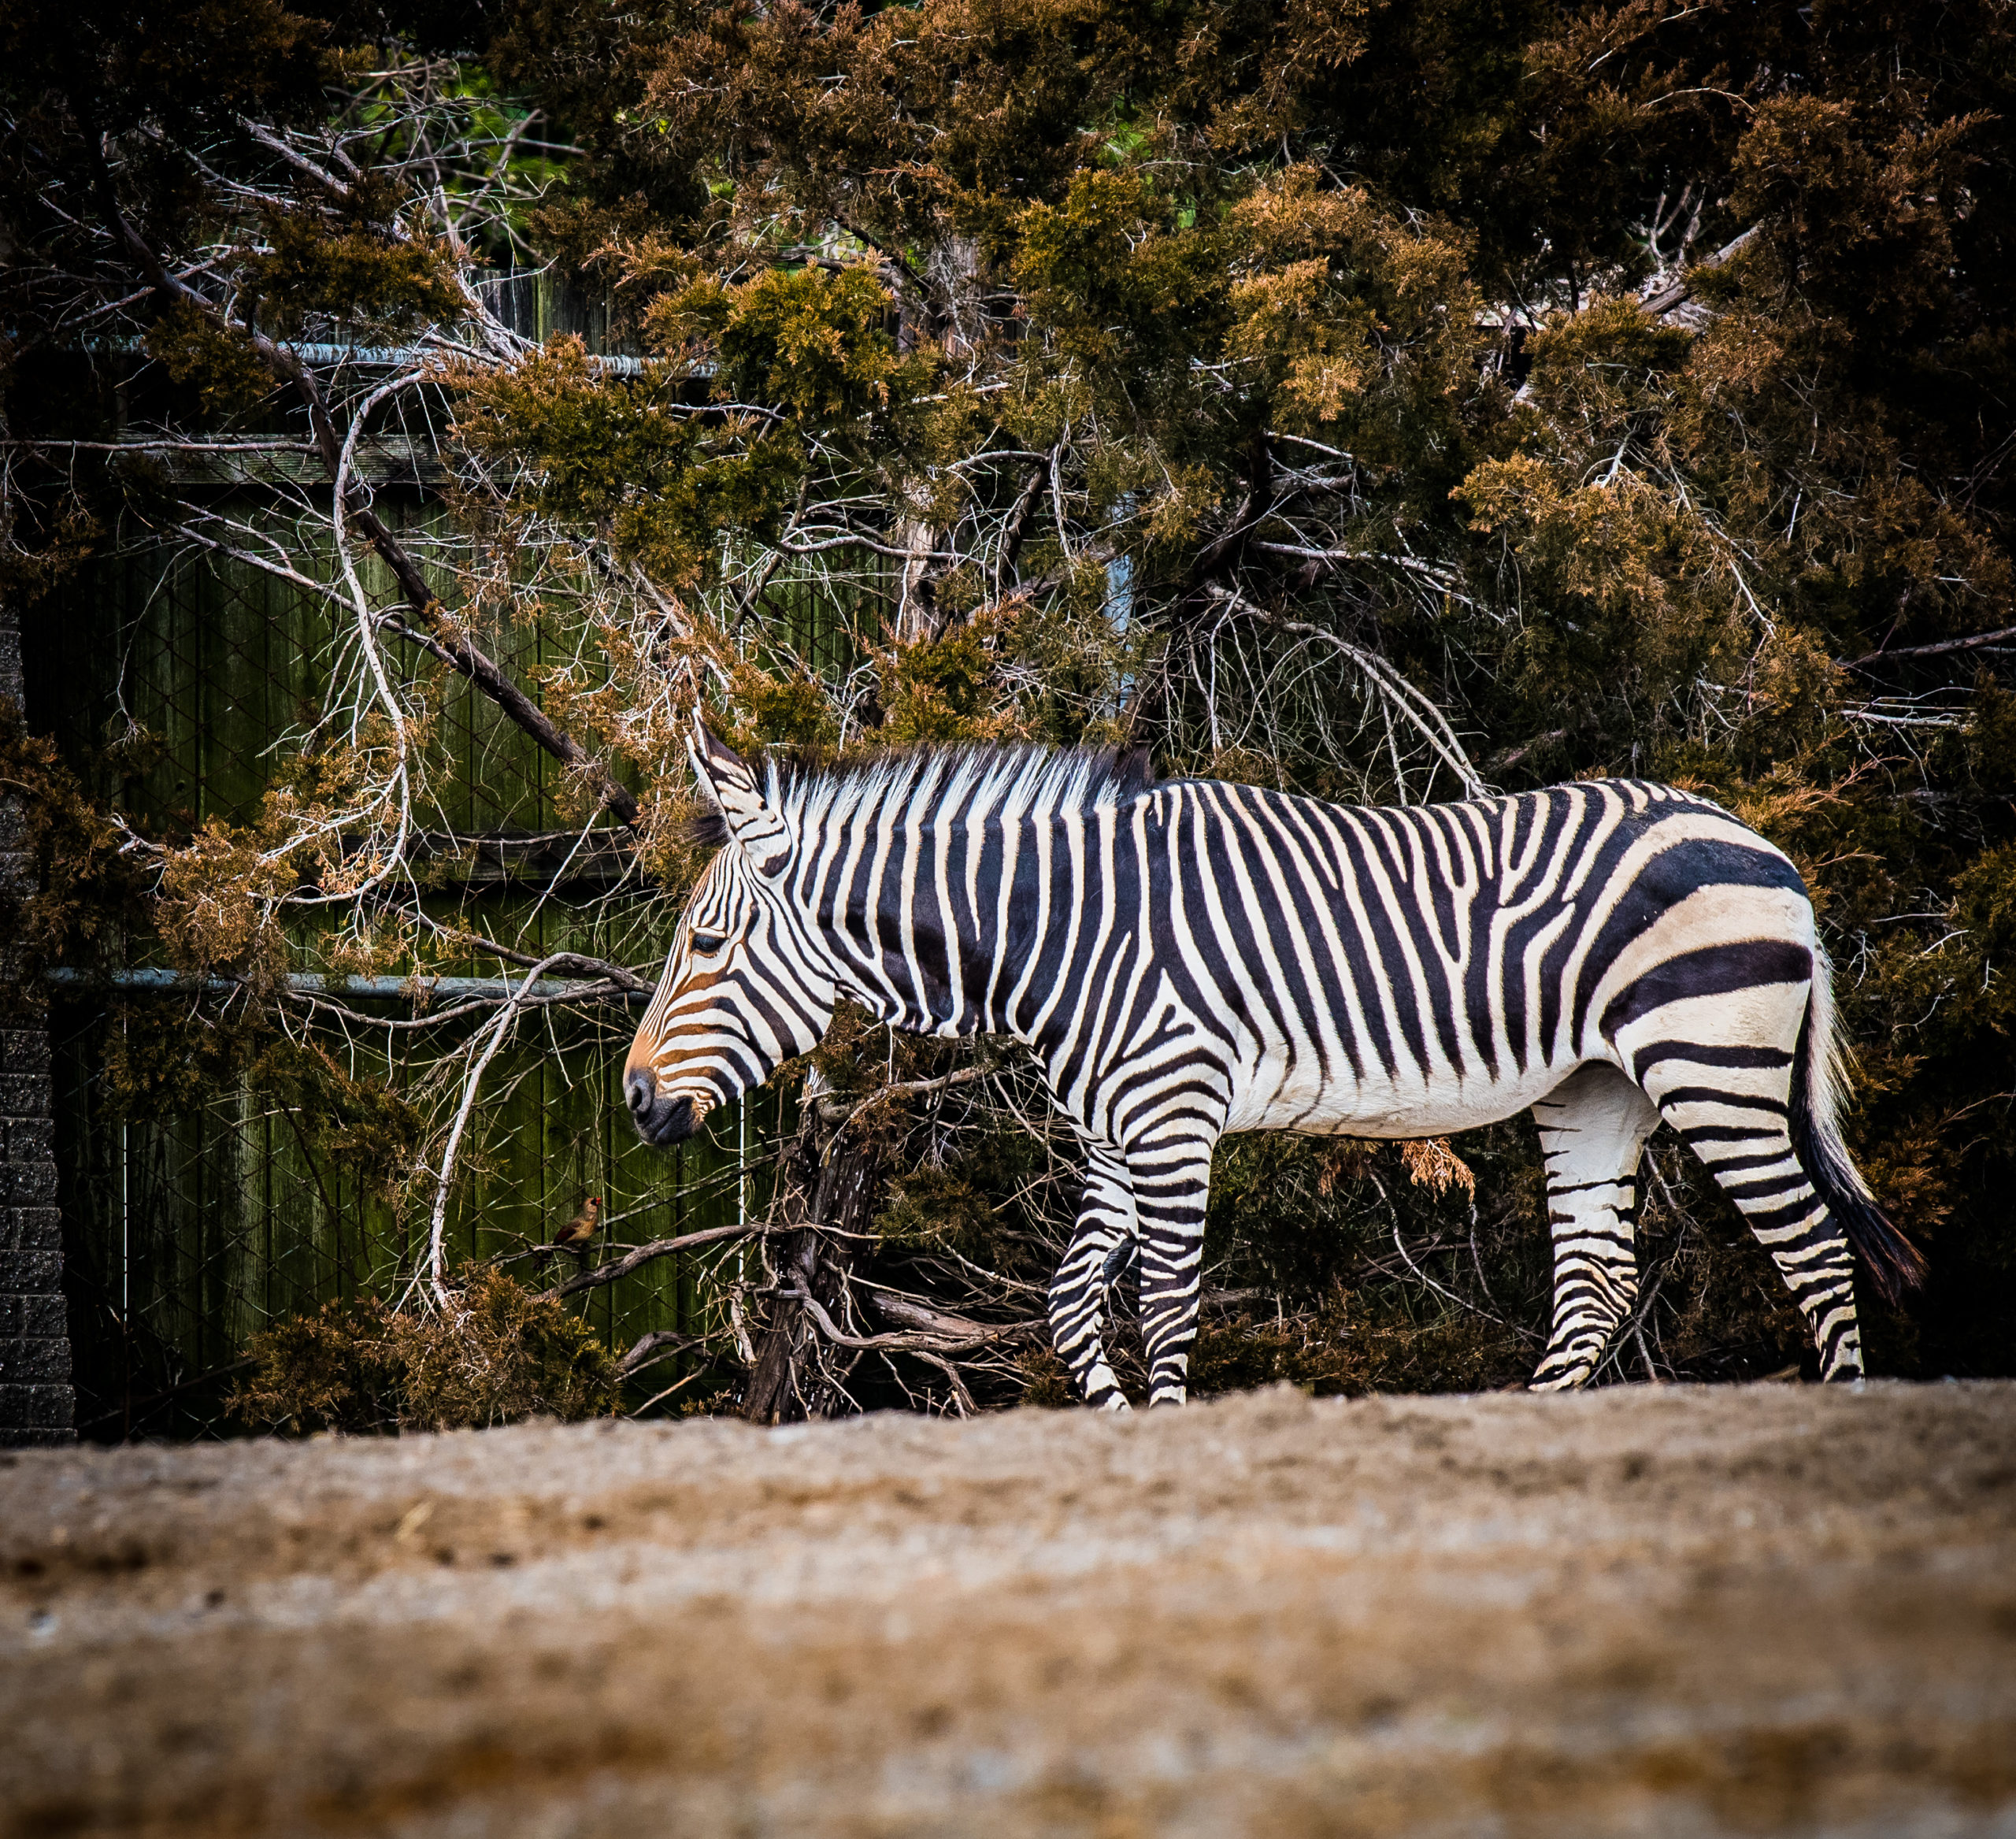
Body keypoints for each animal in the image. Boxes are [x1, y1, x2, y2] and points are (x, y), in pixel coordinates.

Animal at [625, 712, 1923, 1408]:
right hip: (1593, 1091)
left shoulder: (1170, 1115)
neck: (1061, 928)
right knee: (1599, 1284)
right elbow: (1069, 1305)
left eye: (704, 942)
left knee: (1813, 1250)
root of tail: (1768, 845)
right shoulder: (1111, 1133)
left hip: (1712, 1062)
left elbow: (1167, 1302)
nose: (635, 1099)